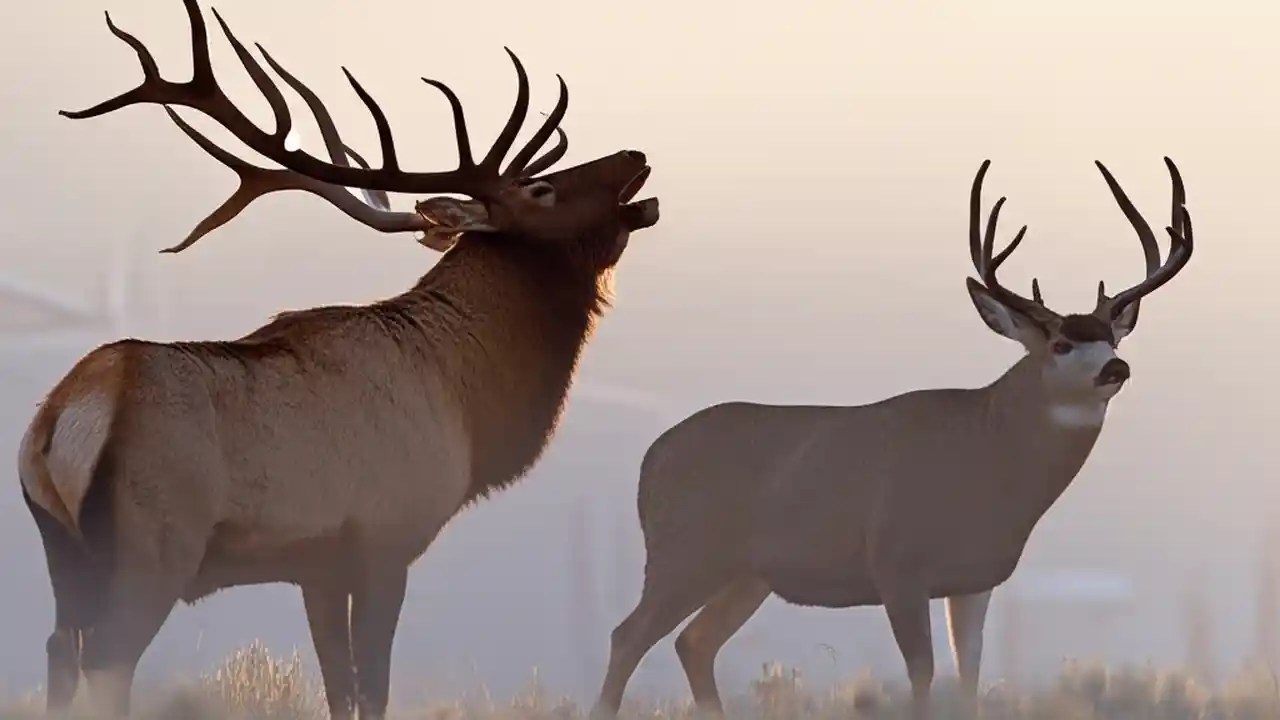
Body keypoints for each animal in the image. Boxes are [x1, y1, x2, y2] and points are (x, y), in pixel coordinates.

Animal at [20, 1, 658, 718]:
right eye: (543, 189)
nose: (634, 154)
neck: (468, 402)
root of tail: (57, 420)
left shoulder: (316, 567)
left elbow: (338, 686)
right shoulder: (385, 539)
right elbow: (372, 685)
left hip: (63, 552)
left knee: (58, 649)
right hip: (152, 548)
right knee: (107, 660)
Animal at [590, 158, 1192, 720]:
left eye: (1113, 336)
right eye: (1062, 344)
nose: (1116, 367)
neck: (987, 452)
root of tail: (651, 458)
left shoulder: (975, 579)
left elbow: (968, 678)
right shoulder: (897, 562)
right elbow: (922, 674)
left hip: (745, 574)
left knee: (693, 643)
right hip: (684, 552)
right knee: (628, 635)